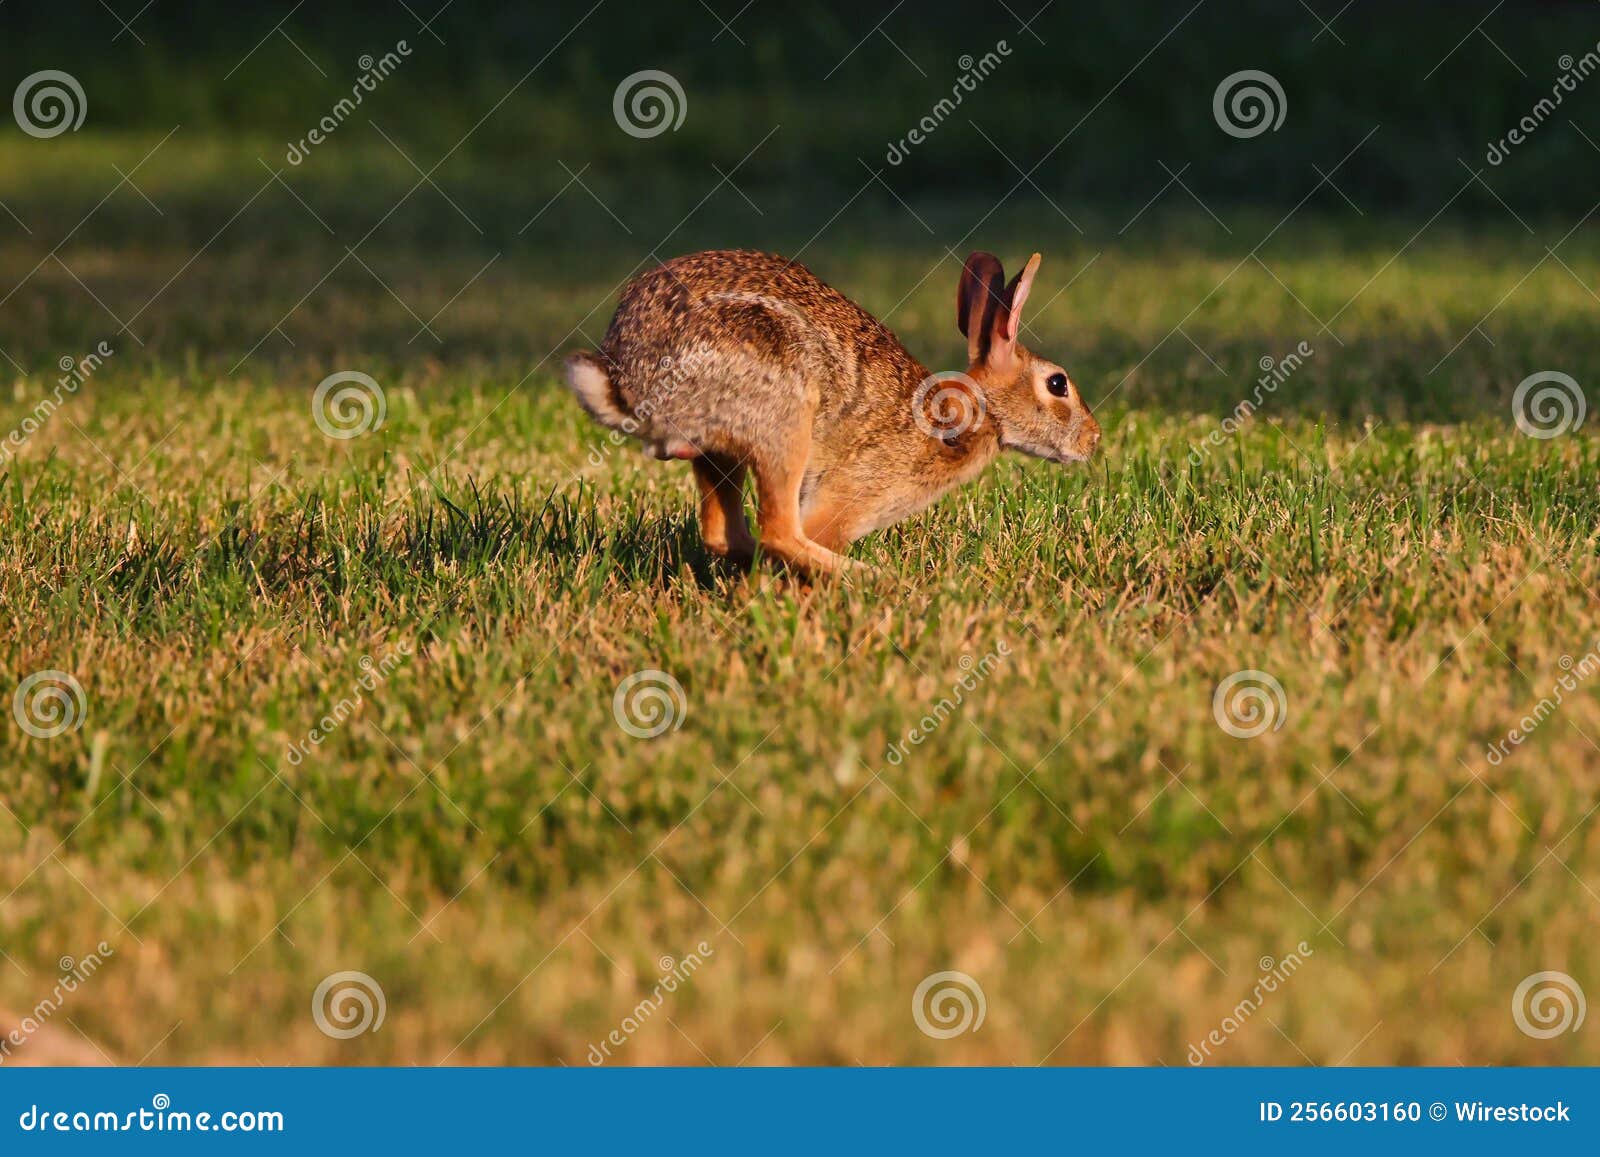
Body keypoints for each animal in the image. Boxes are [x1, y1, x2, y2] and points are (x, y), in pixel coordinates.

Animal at [564, 248, 1100, 575]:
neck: (977, 412)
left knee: (724, 531)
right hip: (783, 419)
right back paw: (871, 579)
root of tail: (628, 380)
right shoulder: (857, 494)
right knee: (780, 532)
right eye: (1057, 384)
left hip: (722, 451)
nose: (1093, 440)